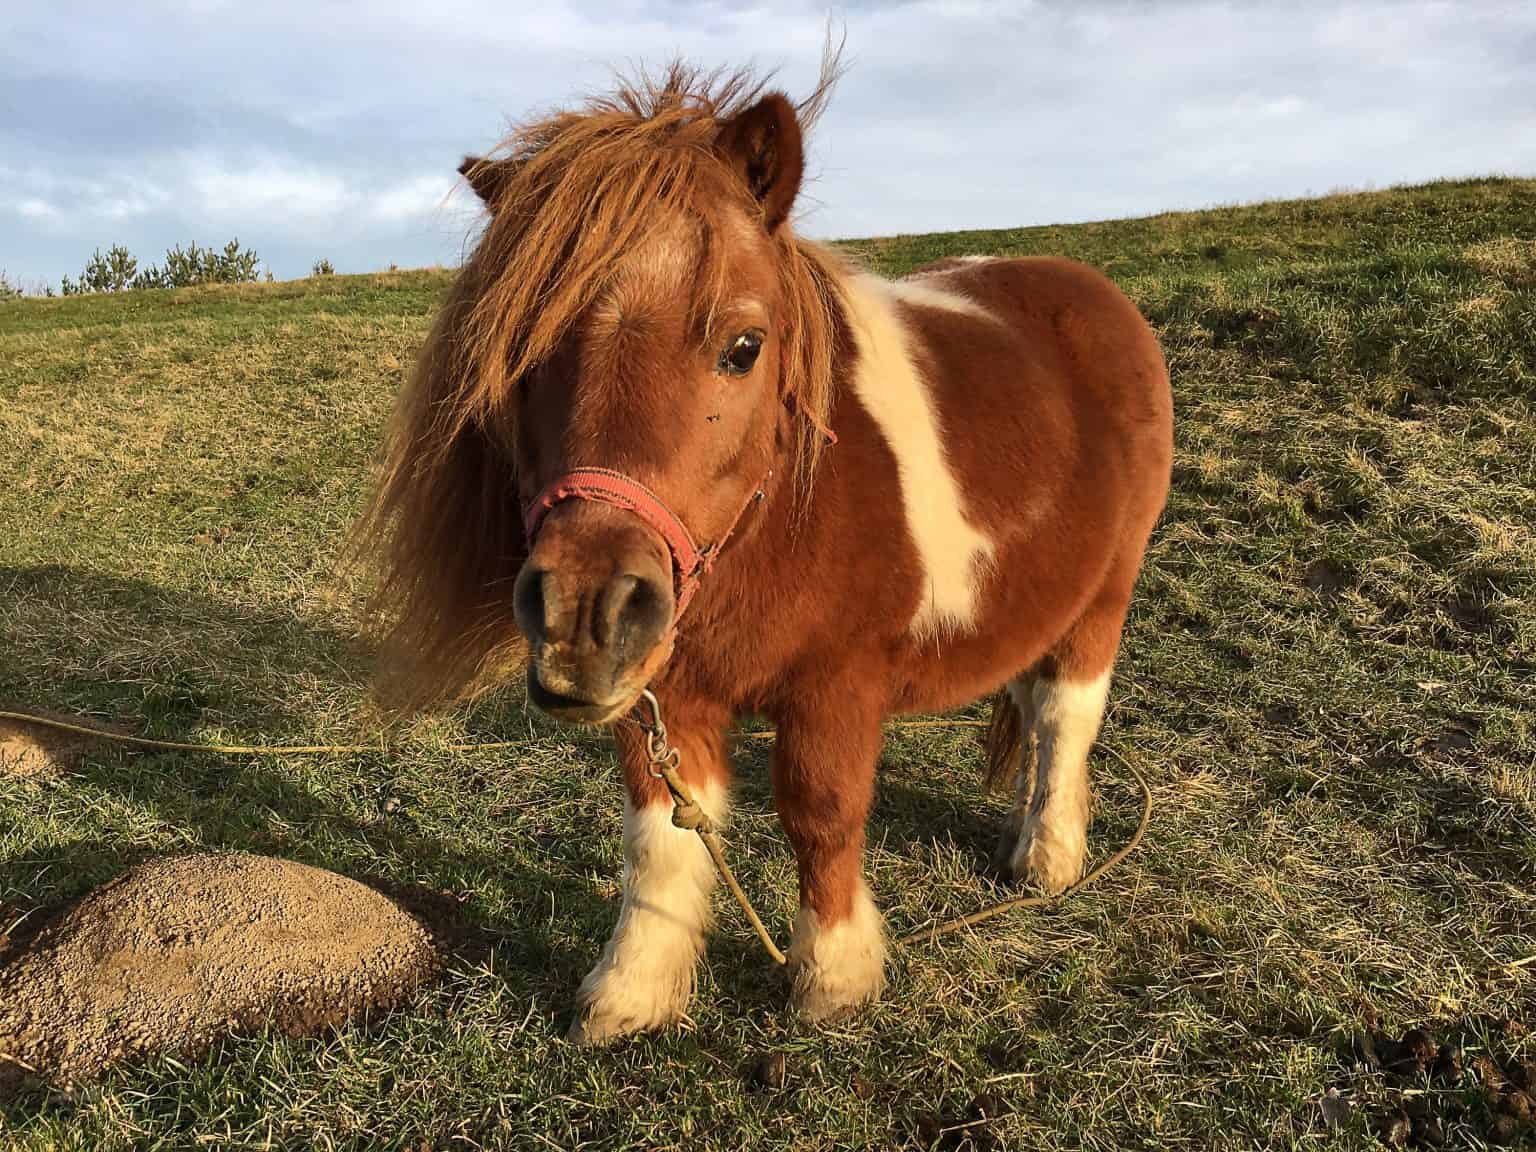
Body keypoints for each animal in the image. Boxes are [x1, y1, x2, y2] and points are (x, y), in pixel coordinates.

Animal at [362, 61, 1172, 1044]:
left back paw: (1048, 857)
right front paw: (634, 990)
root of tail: (1089, 294)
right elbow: (662, 834)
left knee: (1064, 719)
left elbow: (820, 816)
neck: (779, 521)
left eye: (743, 346)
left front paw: (833, 976)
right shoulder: (664, 694)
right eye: (519, 357)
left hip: (1105, 596)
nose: (582, 615)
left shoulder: (836, 687)